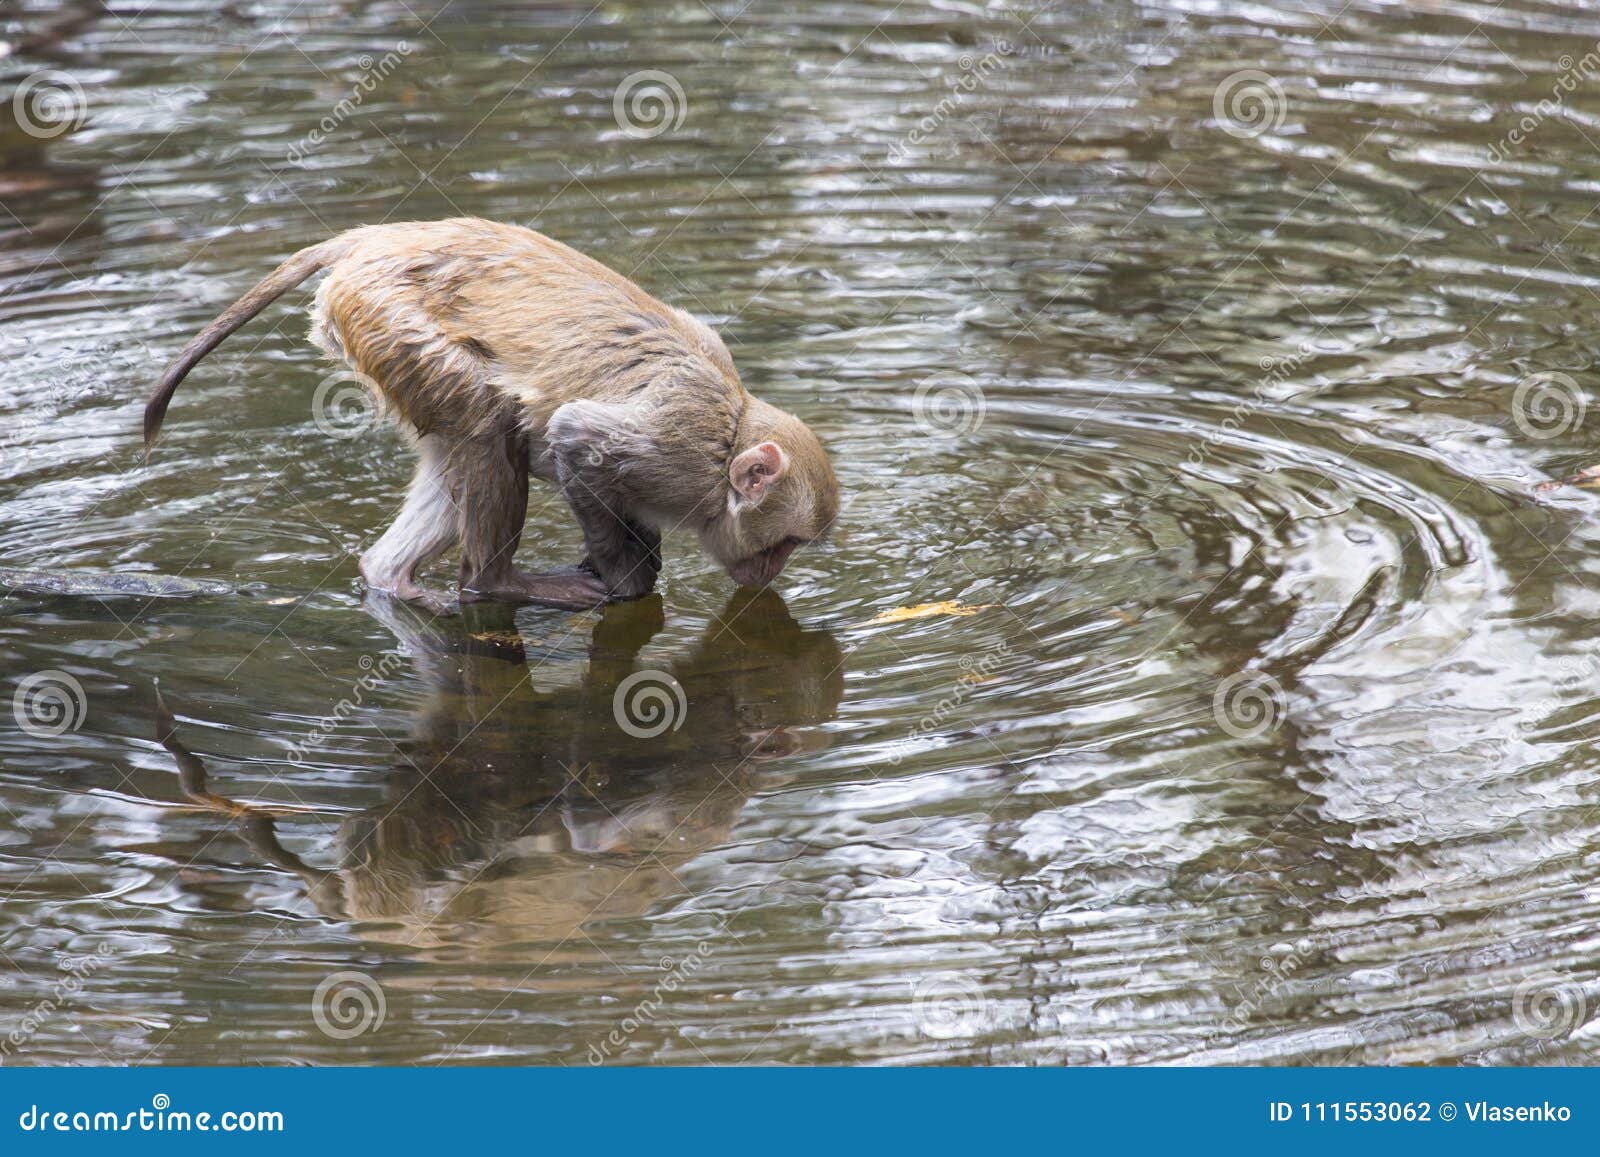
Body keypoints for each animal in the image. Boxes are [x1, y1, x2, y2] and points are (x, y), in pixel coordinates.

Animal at [144, 218, 839, 613]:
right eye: (786, 544)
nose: (771, 573)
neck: (729, 438)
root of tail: (380, 237)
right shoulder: (679, 456)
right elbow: (575, 436)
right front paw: (625, 573)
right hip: (390, 319)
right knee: (489, 417)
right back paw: (496, 584)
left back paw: (390, 578)